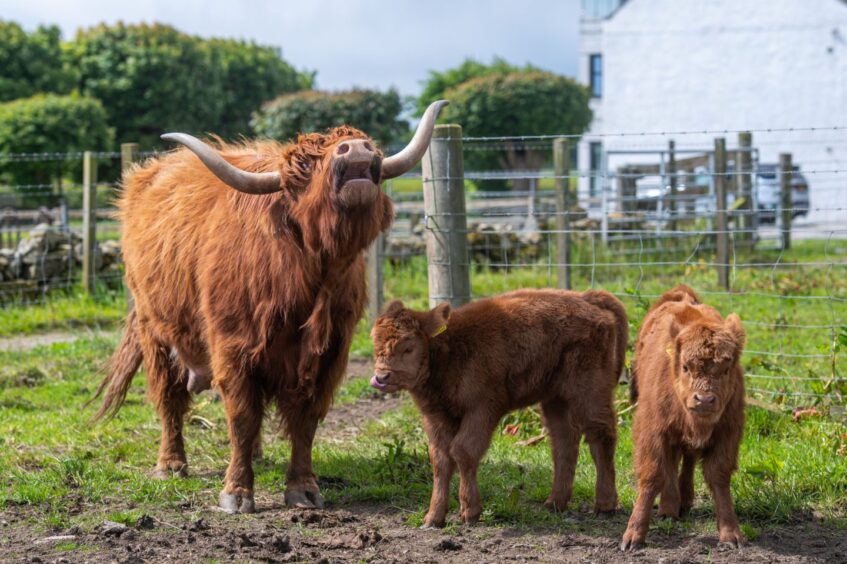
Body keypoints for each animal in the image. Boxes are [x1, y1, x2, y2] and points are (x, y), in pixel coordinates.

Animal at [91, 100, 449, 514]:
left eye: (364, 141)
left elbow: (304, 421)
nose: (357, 149)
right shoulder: (232, 345)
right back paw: (171, 464)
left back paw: (258, 457)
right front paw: (236, 492)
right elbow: (241, 416)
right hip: (155, 331)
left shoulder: (329, 353)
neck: (309, 275)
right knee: (169, 398)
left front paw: (303, 489)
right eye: (304, 167)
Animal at [369, 289, 628, 527]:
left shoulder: (481, 409)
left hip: (589, 391)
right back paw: (554, 503)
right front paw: (433, 518)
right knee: (565, 441)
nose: (381, 377)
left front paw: (470, 512)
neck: (449, 348)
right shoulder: (437, 418)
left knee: (600, 435)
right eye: (375, 344)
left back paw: (604, 506)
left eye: (408, 347)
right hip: (555, 398)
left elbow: (463, 451)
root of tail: (587, 298)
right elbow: (441, 461)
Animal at [621, 285, 746, 551]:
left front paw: (731, 533)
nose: (705, 400)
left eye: (726, 369)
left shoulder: (728, 433)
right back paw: (668, 508)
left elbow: (719, 477)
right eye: (686, 366)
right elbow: (653, 475)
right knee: (671, 463)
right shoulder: (653, 431)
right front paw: (633, 535)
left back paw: (683, 500)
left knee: (686, 458)